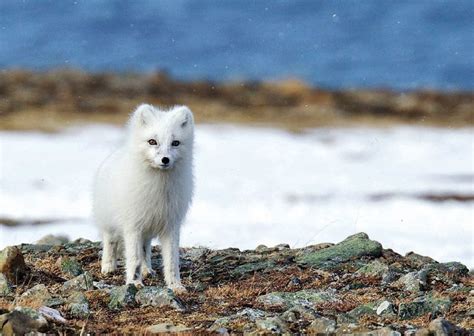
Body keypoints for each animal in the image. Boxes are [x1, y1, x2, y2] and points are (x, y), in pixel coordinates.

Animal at [93, 103, 193, 292]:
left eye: (175, 143)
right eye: (152, 141)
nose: (165, 159)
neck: (159, 188)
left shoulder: (171, 225)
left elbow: (171, 261)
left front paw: (175, 285)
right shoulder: (133, 226)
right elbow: (134, 258)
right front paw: (134, 283)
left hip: (148, 228)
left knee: (145, 249)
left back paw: (147, 270)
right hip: (109, 222)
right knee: (110, 242)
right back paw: (108, 266)